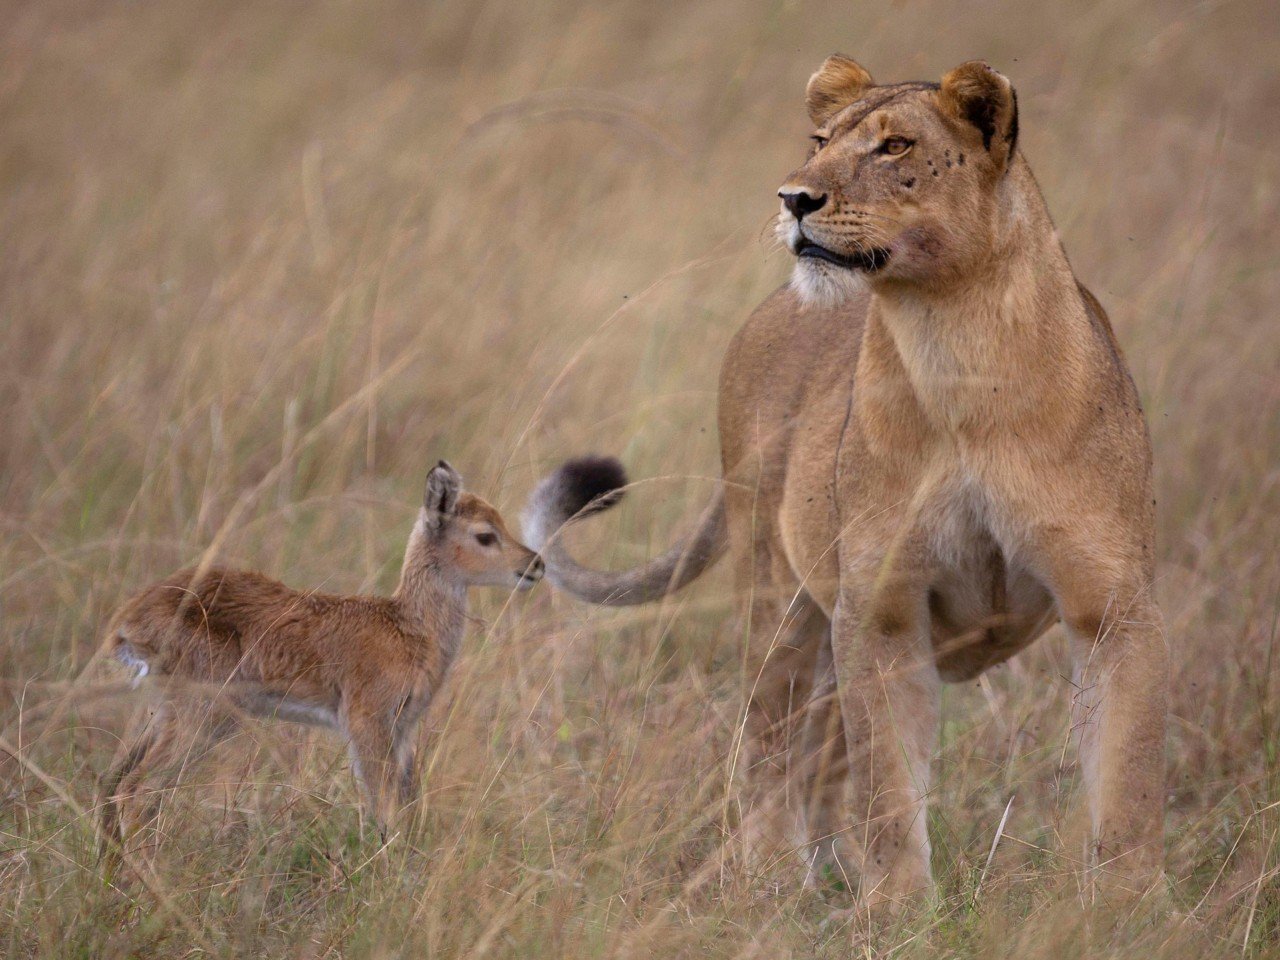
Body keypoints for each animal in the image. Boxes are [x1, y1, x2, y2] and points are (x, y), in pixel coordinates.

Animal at [98, 463, 540, 855]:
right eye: (485, 535)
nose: (535, 564)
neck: (408, 628)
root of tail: (128, 618)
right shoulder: (366, 723)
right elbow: (385, 809)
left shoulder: (403, 730)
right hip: (203, 716)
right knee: (136, 792)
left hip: (164, 715)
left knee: (112, 783)